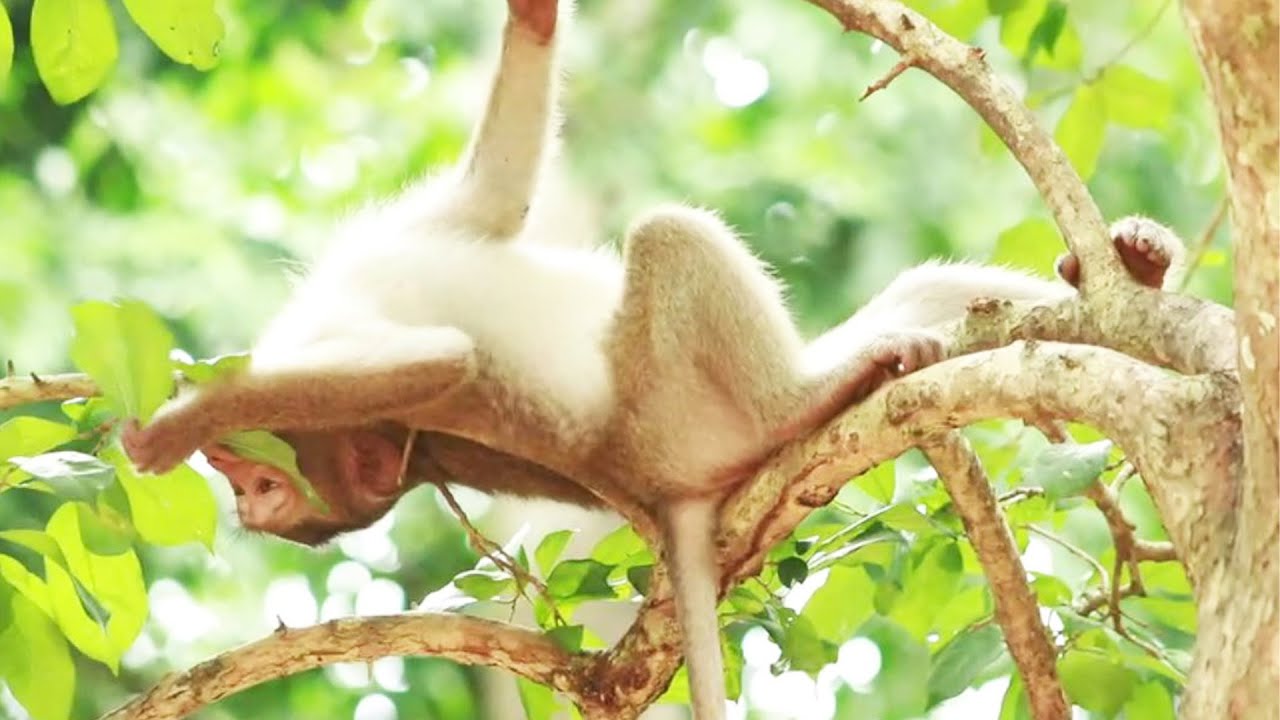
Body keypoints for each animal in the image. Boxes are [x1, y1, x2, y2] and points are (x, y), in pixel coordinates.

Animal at [119, 0, 1187, 714]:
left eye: (258, 487)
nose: (240, 491)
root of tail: (658, 485)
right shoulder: (352, 318)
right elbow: (448, 349)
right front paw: (174, 424)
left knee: (929, 294)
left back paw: (1123, 271)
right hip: (678, 402)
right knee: (673, 239)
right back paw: (810, 394)